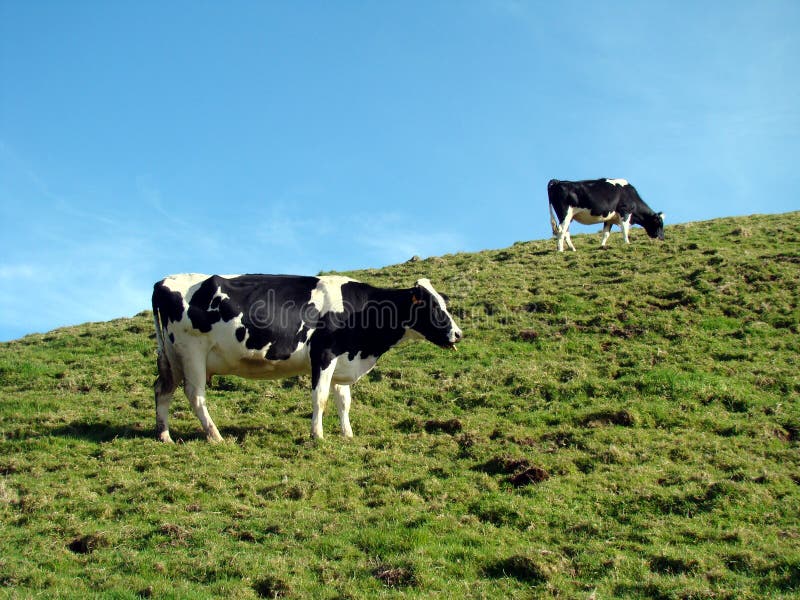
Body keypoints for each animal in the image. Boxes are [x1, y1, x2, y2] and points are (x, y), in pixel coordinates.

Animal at [152, 273, 463, 442]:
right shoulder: (323, 354)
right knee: (195, 395)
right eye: (434, 307)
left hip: (172, 356)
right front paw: (318, 435)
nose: (458, 334)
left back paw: (165, 435)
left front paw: (348, 435)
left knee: (162, 390)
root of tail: (163, 282)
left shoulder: (342, 361)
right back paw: (215, 435)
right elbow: (320, 398)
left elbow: (344, 401)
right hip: (193, 352)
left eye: (444, 304)